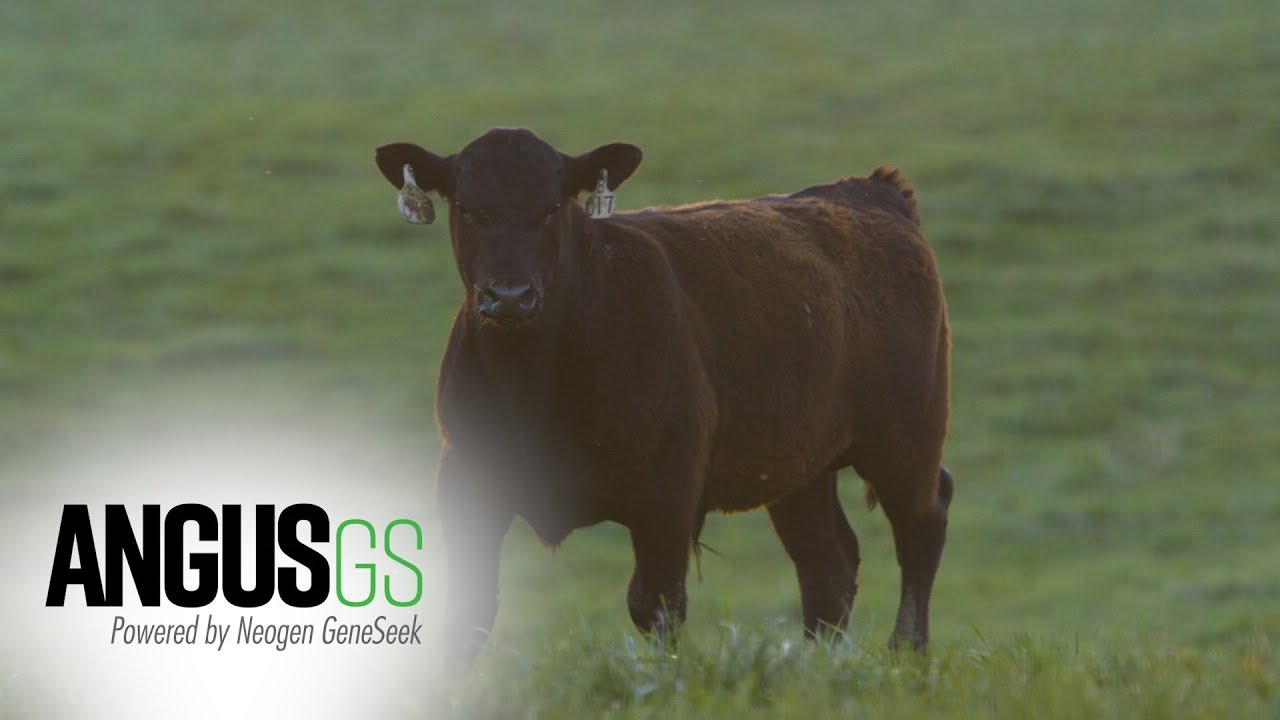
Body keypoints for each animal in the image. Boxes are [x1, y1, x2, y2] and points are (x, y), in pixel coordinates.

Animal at [373, 127, 954, 664]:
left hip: (908, 434)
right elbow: (469, 611)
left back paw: (908, 653)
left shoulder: (667, 489)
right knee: (827, 563)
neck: (531, 382)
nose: (510, 295)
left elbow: (654, 603)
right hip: (800, 463)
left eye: (552, 207)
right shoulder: (465, 476)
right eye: (468, 208)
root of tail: (867, 191)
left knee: (921, 525)